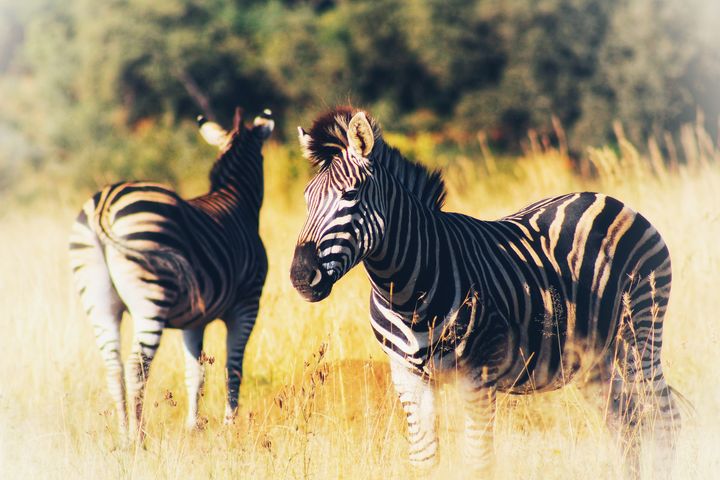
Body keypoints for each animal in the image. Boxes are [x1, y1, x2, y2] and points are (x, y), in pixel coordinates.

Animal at [69, 107, 274, 439]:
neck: (236, 200)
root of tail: (104, 206)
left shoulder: (195, 320)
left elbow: (196, 372)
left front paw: (194, 426)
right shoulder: (247, 304)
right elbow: (233, 368)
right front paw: (231, 425)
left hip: (98, 299)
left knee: (113, 366)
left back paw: (123, 432)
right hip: (151, 297)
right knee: (137, 366)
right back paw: (137, 437)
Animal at [290, 107, 682, 478]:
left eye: (350, 195)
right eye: (306, 200)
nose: (300, 276)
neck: (405, 292)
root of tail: (606, 198)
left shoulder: (477, 377)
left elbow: (479, 462)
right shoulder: (408, 377)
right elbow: (424, 460)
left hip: (638, 338)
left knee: (664, 420)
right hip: (595, 359)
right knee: (626, 424)